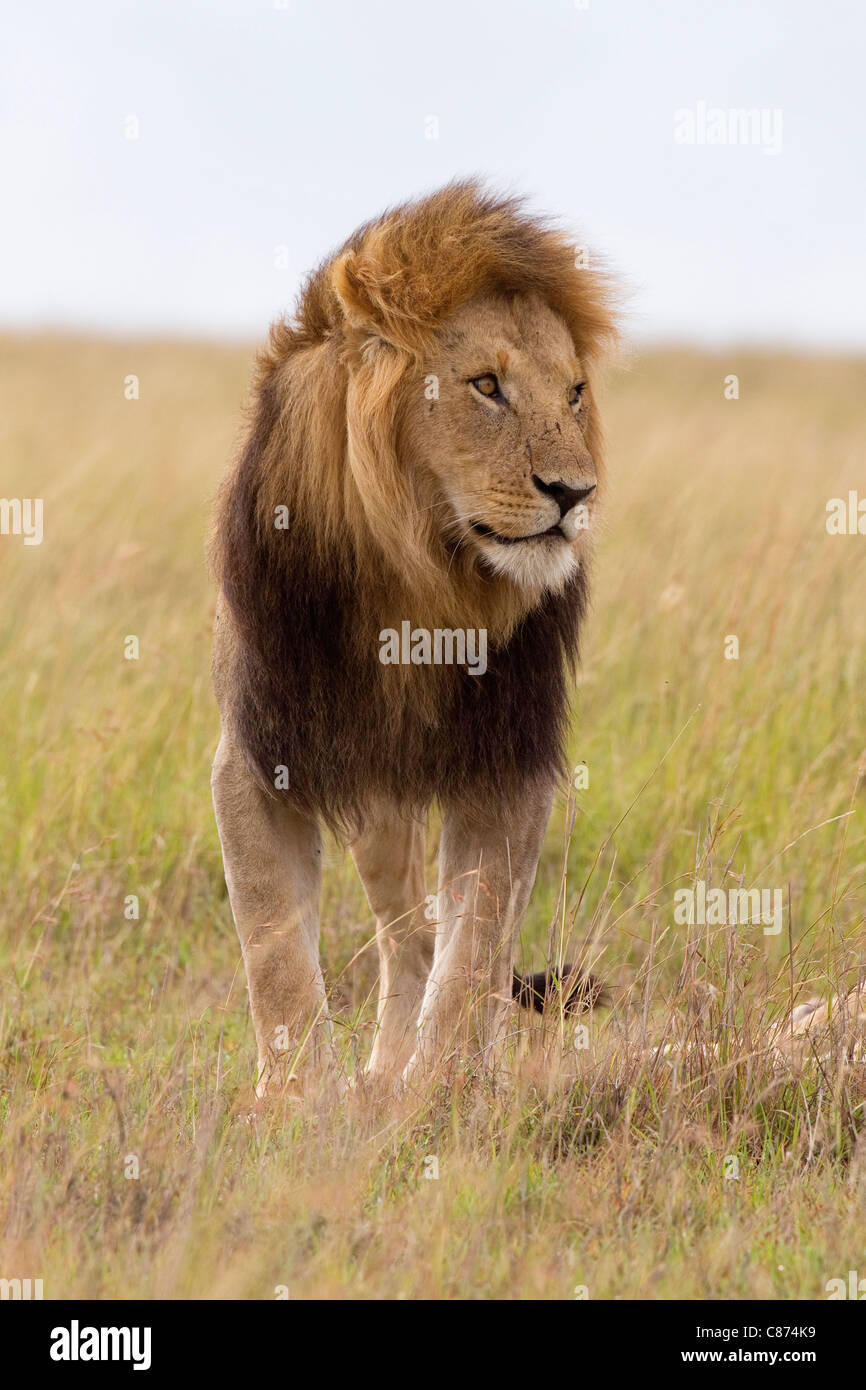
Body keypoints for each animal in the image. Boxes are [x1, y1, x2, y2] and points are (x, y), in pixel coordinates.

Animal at [210, 181, 618, 1095]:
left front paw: (440, 1093)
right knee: (403, 935)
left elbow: (473, 951)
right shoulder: (259, 754)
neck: (426, 576)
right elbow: (273, 952)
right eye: (486, 385)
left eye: (575, 393)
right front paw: (299, 1104)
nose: (574, 494)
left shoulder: (508, 760)